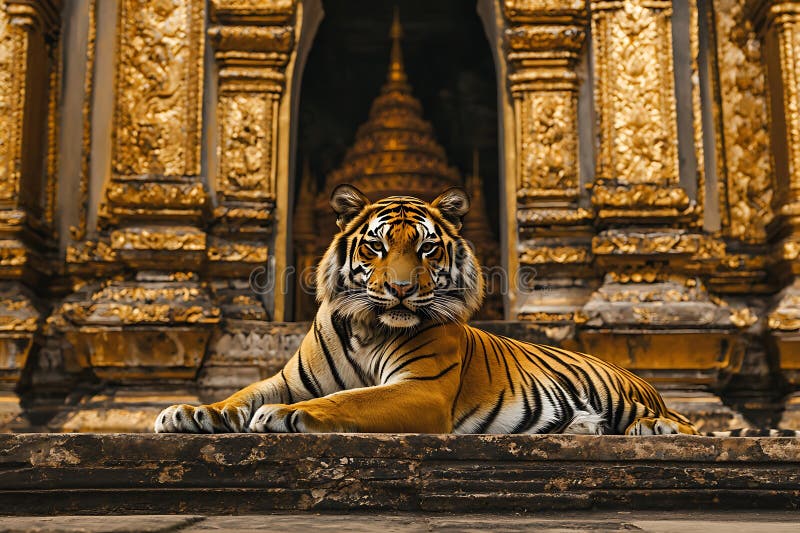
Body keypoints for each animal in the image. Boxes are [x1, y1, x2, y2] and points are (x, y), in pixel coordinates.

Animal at [155, 184, 702, 436]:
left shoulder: (422, 389)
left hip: (616, 391)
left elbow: (347, 400)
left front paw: (285, 416)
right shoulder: (291, 378)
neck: (368, 327)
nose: (399, 289)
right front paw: (189, 412)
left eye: (426, 249)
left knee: (687, 423)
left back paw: (653, 428)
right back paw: (584, 428)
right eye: (375, 246)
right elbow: (240, 394)